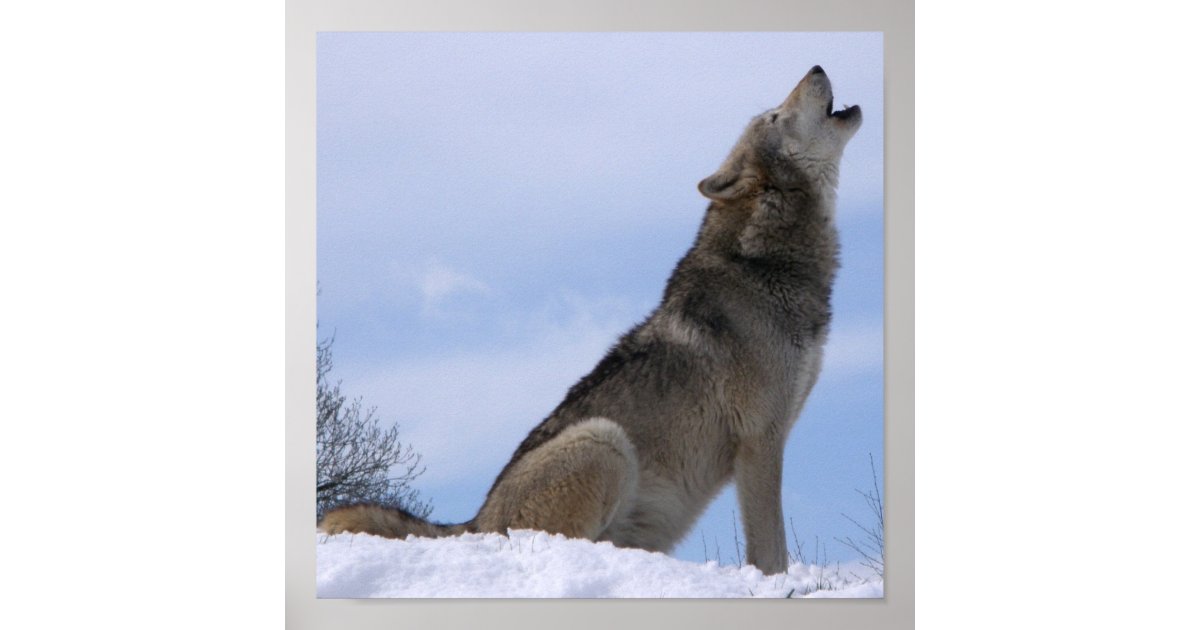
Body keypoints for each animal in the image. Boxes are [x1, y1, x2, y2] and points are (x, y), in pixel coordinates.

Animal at [320, 65, 862, 575]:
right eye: (774, 116)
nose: (816, 66)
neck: (765, 263)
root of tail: (474, 523)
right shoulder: (759, 440)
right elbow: (771, 550)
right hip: (605, 439)